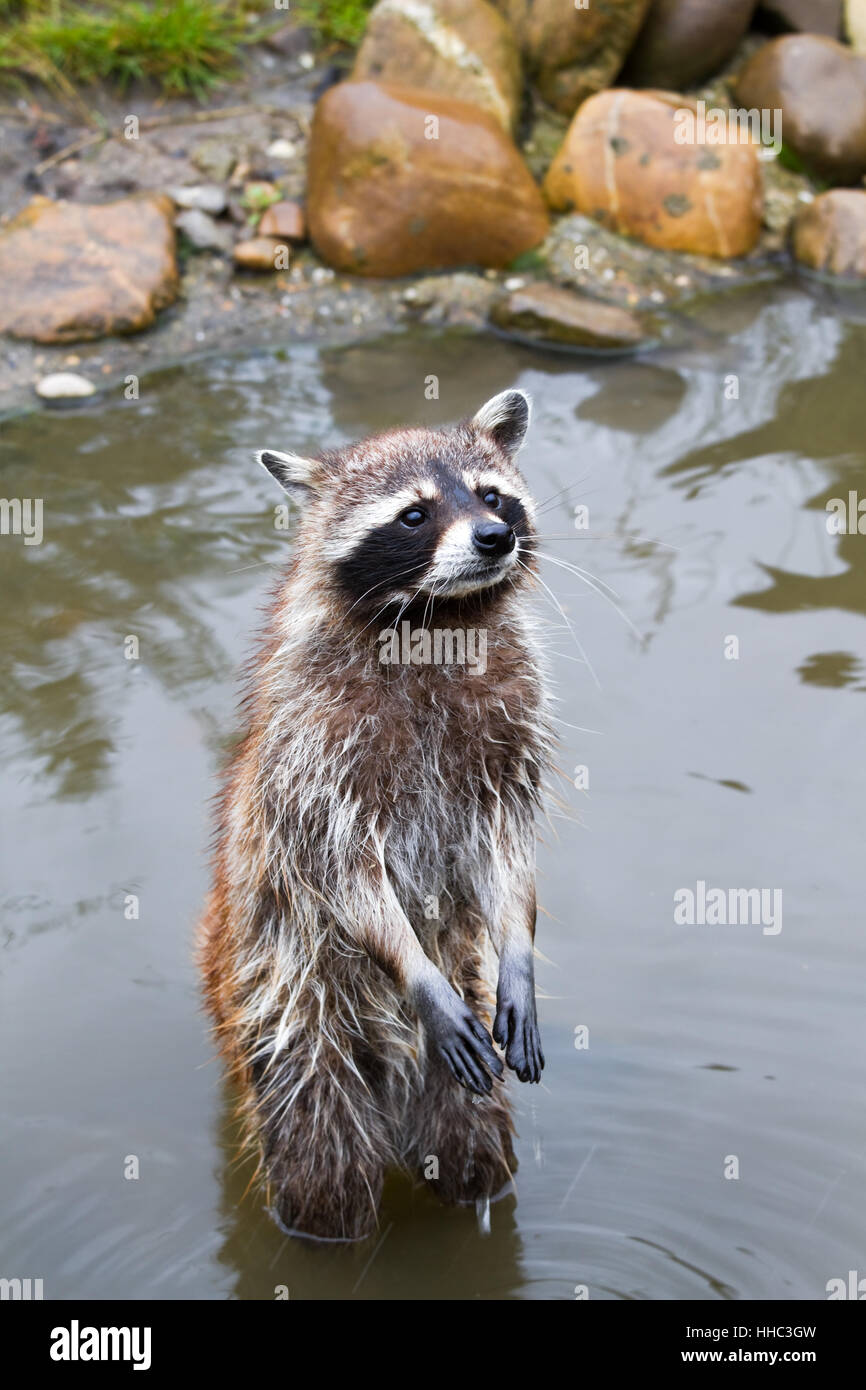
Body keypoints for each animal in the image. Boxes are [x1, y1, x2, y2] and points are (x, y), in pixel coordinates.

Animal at [197, 388, 553, 1241]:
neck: (435, 622)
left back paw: (474, 1191)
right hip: (289, 1015)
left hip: (454, 1073)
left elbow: (506, 842)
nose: (495, 537)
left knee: (472, 1153)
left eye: (492, 496)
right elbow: (339, 868)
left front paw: (519, 946)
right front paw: (413, 967)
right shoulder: (313, 750)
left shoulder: (510, 723)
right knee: (321, 1173)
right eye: (414, 515)